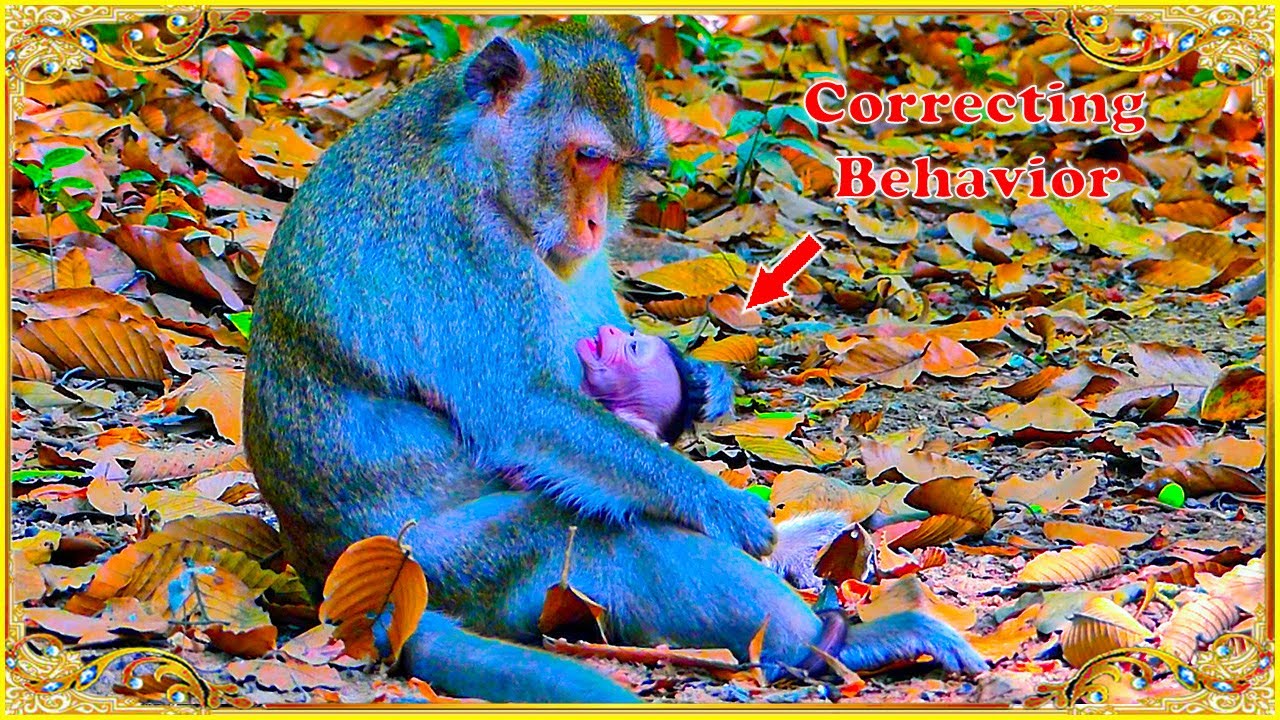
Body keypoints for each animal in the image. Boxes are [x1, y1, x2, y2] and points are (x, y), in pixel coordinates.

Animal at [244, 20, 986, 704]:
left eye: (619, 167)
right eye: (588, 157)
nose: (599, 224)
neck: (478, 166)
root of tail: (350, 598)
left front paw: (702, 386)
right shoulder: (463, 242)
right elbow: (525, 409)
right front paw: (718, 503)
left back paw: (810, 553)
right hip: (440, 565)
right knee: (611, 535)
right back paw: (834, 643)